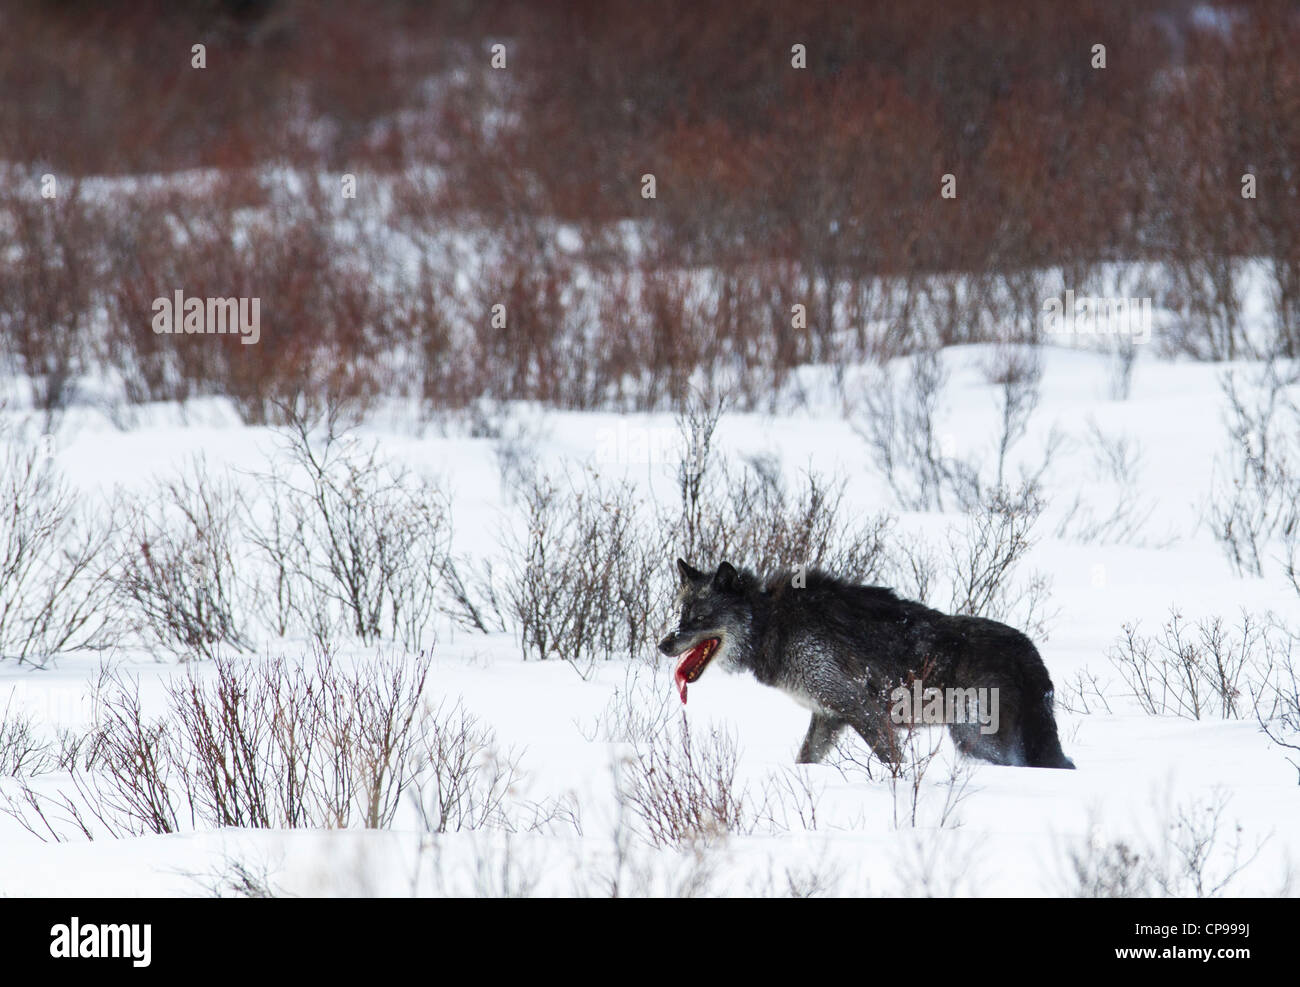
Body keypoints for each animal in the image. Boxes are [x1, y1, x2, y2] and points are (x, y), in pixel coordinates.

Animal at [657, 559, 1075, 769]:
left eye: (699, 619)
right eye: (680, 613)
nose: (663, 644)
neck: (770, 624)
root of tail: (1030, 653)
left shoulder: (861, 709)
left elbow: (893, 762)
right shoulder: (829, 716)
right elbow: (805, 758)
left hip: (973, 736)